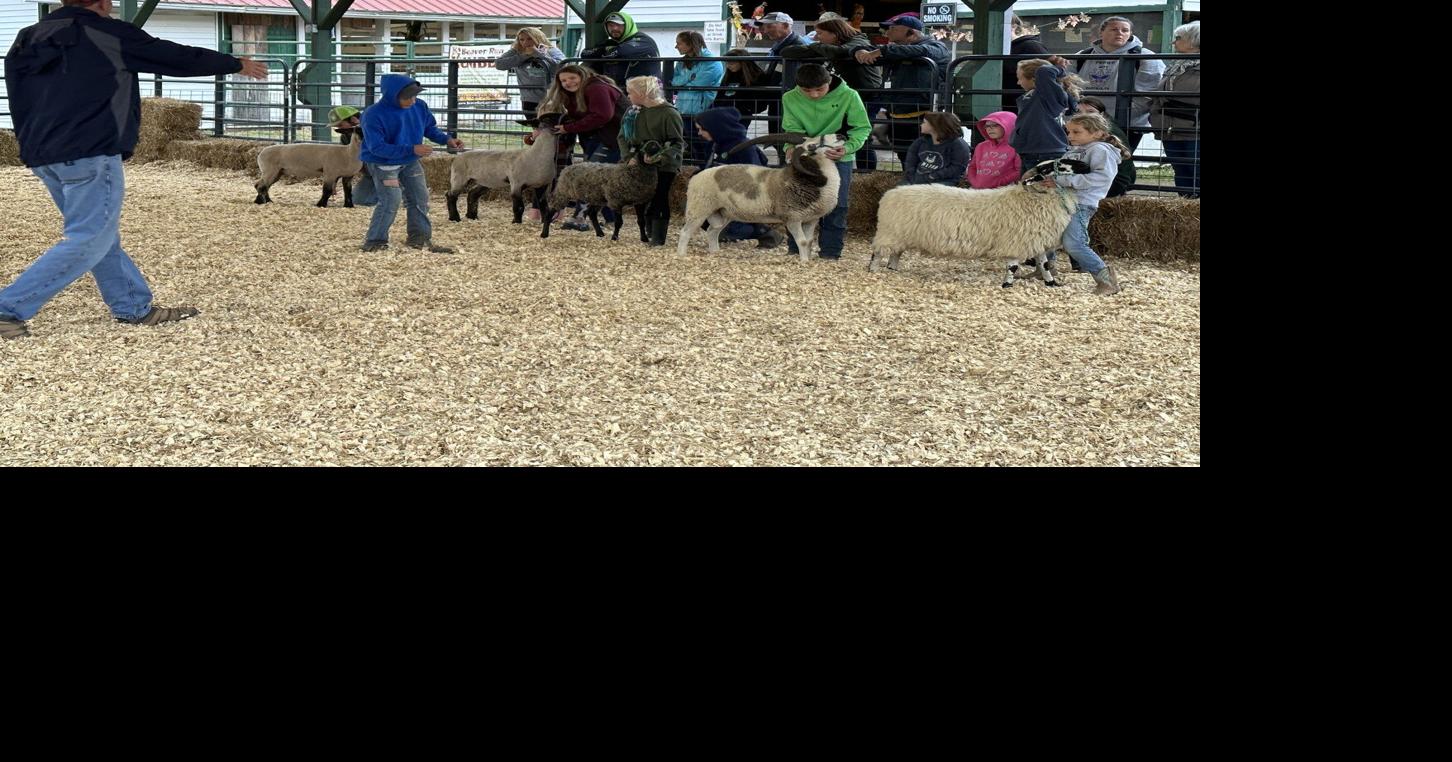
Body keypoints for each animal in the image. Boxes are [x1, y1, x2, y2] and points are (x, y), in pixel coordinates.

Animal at [674, 132, 845, 262]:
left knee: (712, 231)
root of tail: (695, 177)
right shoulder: (792, 218)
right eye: (812, 146)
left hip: (723, 214)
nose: (841, 135)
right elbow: (802, 242)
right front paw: (804, 262)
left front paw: (807, 259)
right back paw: (681, 255)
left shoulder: (811, 219)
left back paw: (715, 252)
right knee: (685, 232)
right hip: (698, 210)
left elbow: (809, 242)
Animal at [868, 159, 1093, 288]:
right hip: (889, 232)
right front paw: (1007, 285)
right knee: (877, 252)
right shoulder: (1016, 241)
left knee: (896, 253)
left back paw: (893, 268)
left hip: (900, 234)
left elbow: (1044, 264)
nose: (1087, 166)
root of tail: (890, 193)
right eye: (1049, 167)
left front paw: (1051, 283)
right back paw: (873, 270)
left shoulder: (1035, 240)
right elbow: (1013, 266)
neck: (1033, 198)